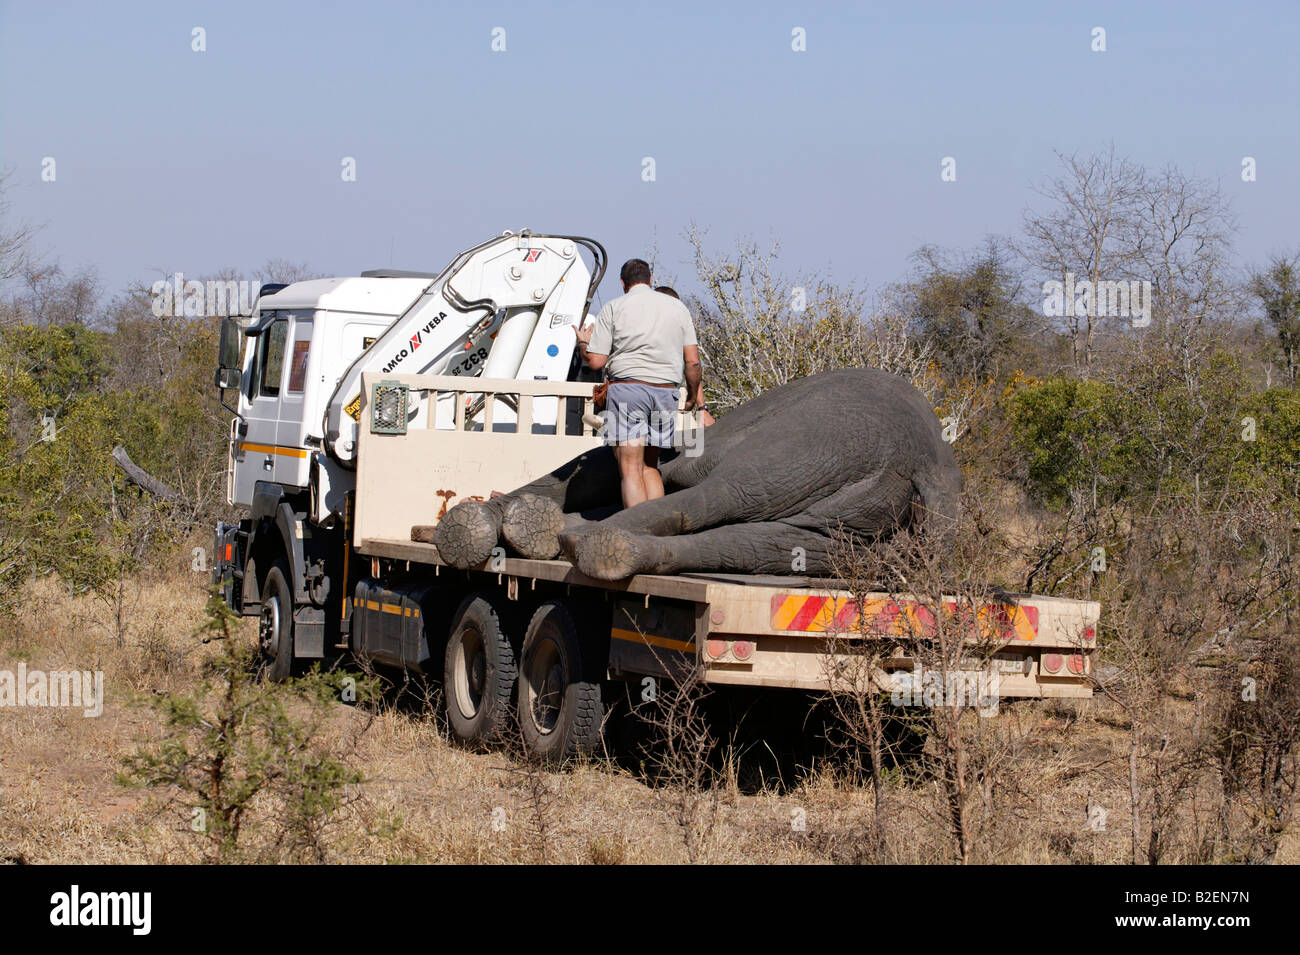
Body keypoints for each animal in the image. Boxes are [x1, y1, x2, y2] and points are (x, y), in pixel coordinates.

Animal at [432, 368, 961, 581]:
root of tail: (925, 463)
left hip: (823, 440)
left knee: (723, 494)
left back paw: (592, 545)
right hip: (845, 508)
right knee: (759, 543)